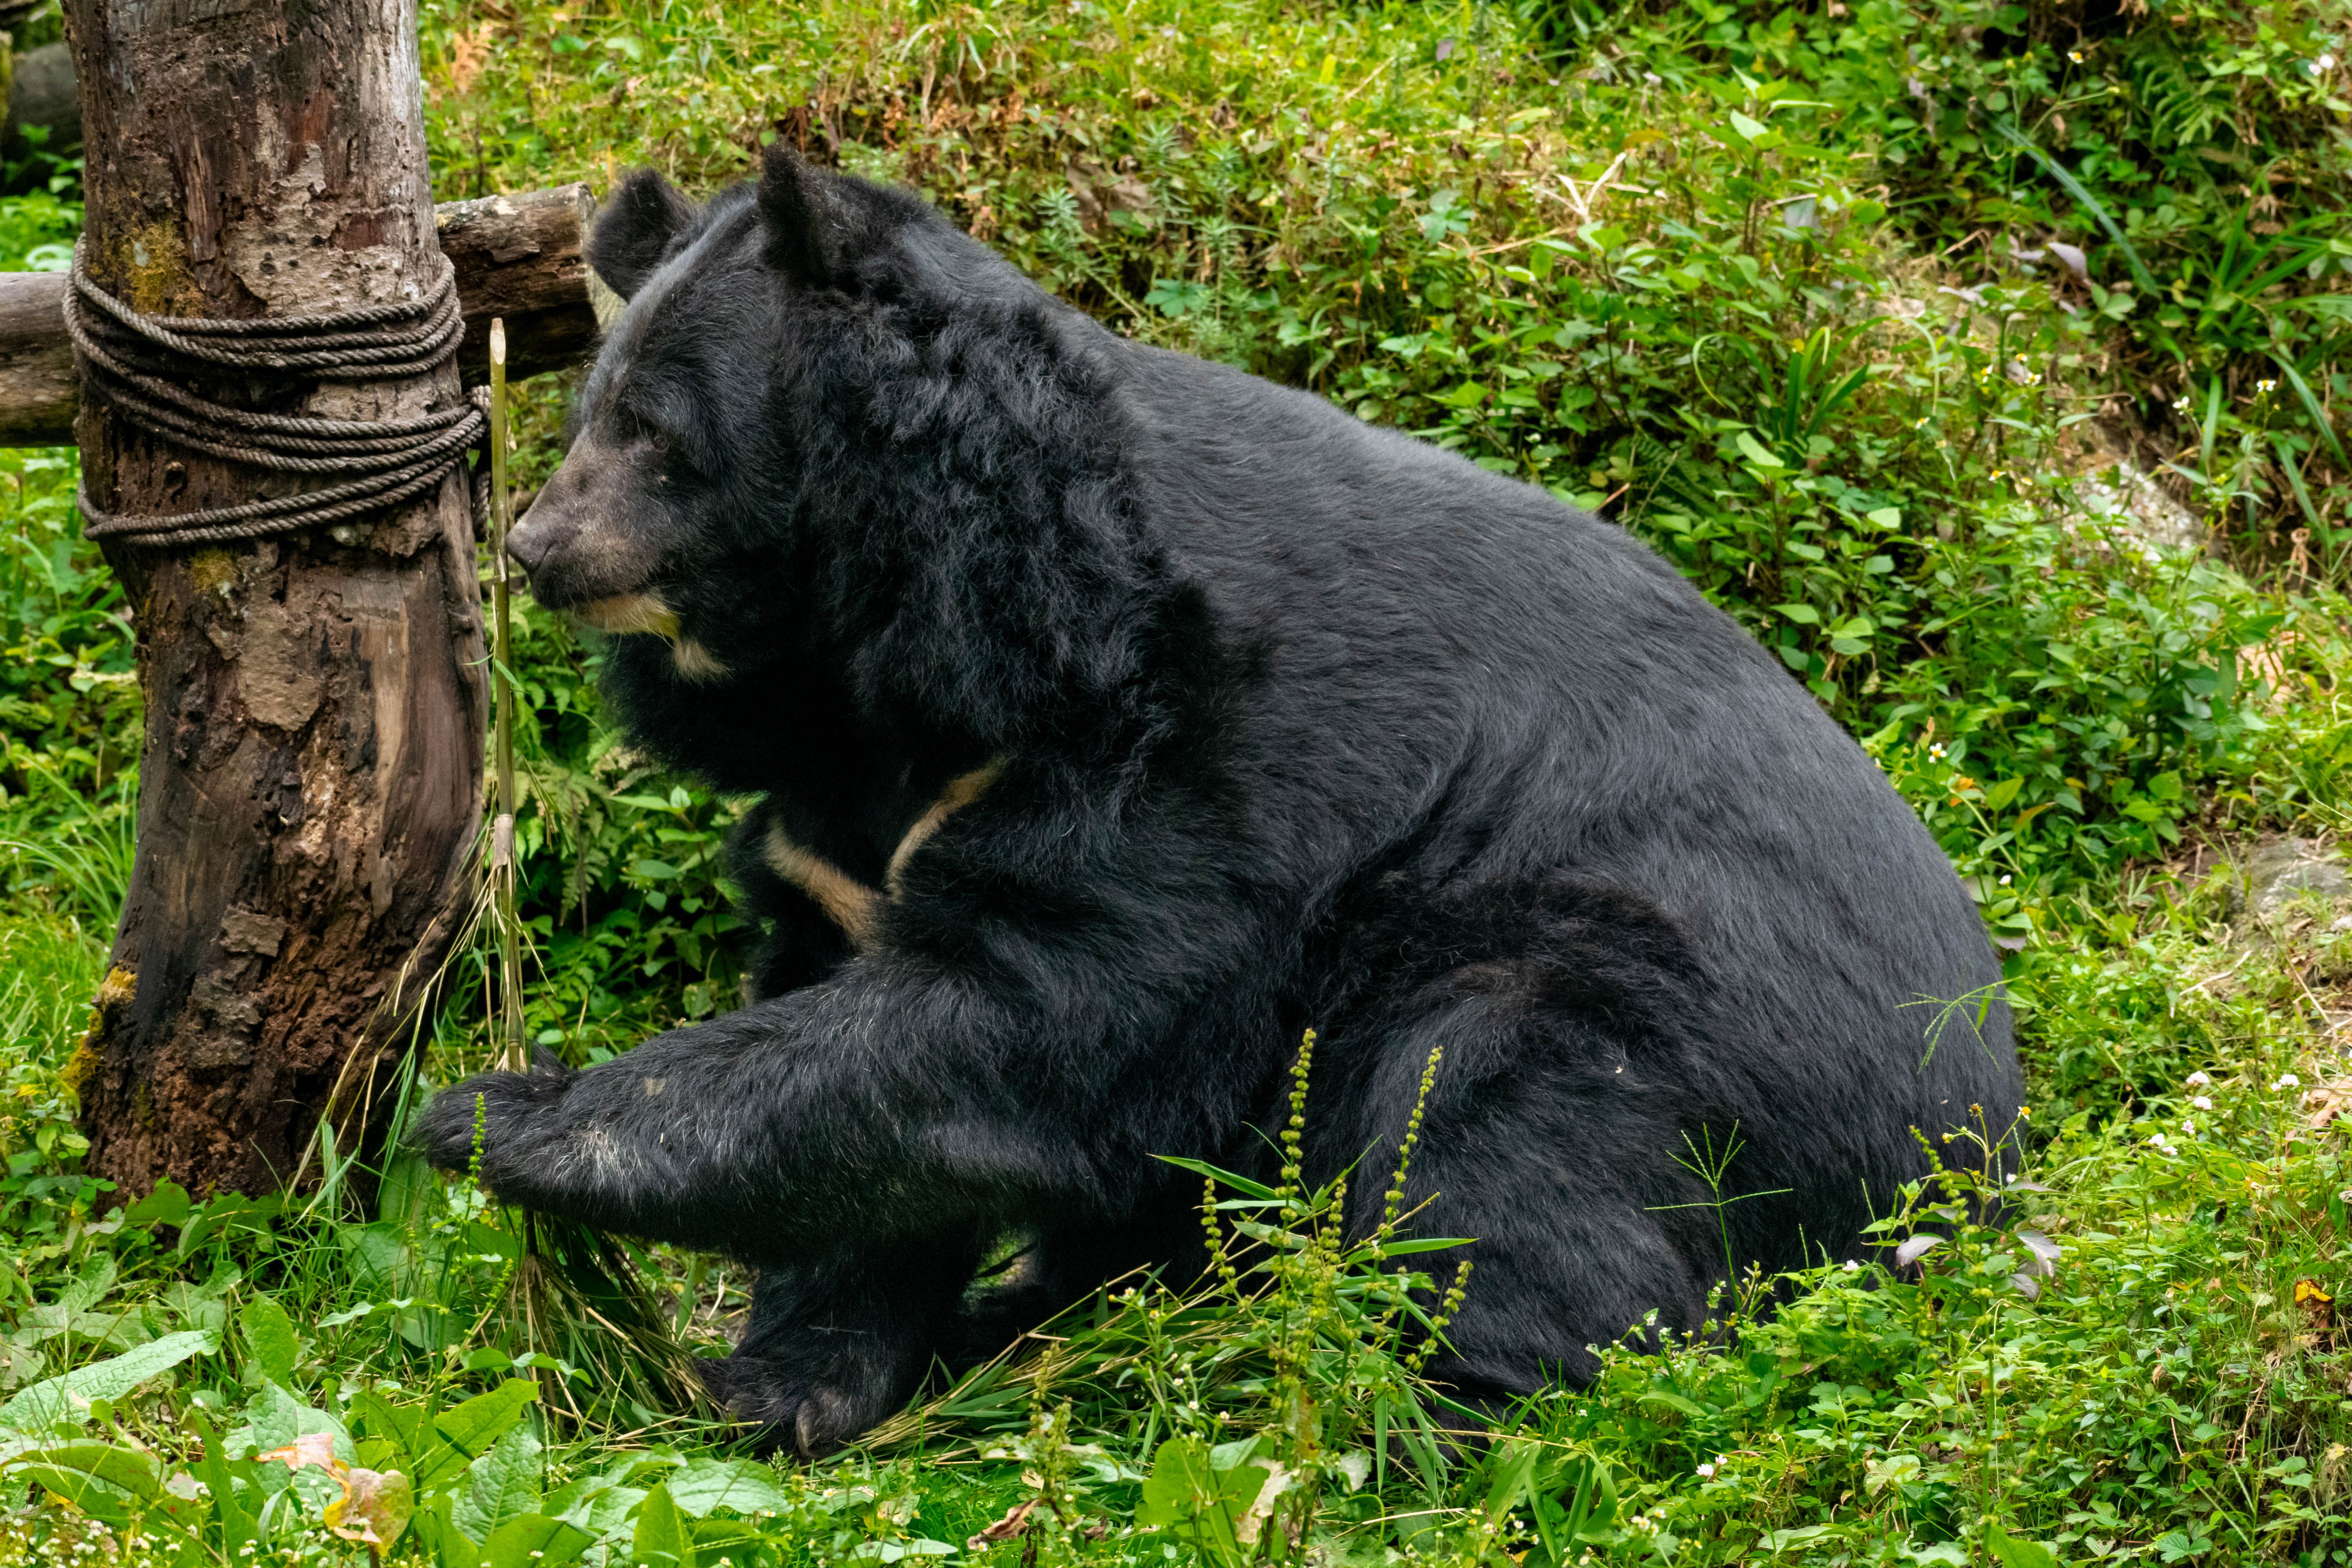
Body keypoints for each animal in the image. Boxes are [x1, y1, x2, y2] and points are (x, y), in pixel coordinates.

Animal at [419, 142, 2021, 1457]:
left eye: (657, 433)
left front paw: (507, 1113)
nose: (533, 548)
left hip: (1645, 1013)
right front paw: (783, 1381)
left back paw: (1408, 1414)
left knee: (1506, 1167)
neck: (914, 641)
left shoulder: (1201, 760)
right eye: (587, 411)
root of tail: (1980, 1161)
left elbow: (1023, 1022)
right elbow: (869, 1052)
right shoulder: (845, 832)